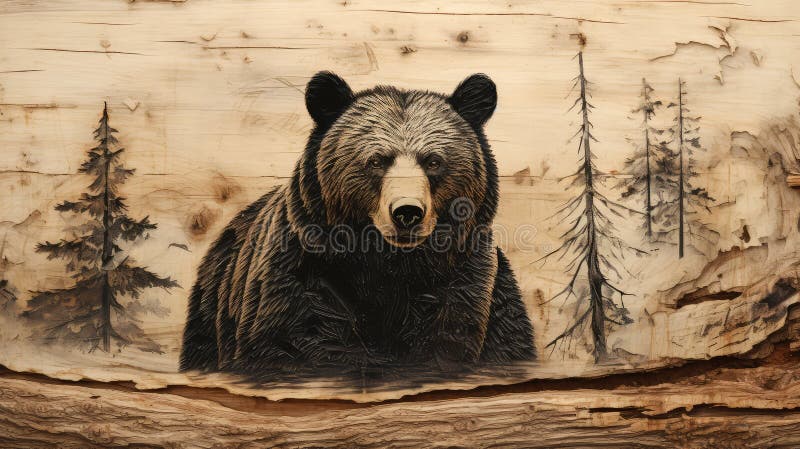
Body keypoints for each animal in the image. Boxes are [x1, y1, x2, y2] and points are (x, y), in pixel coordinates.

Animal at [179, 72, 535, 376]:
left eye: (433, 161)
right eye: (376, 160)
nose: (407, 212)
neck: (389, 265)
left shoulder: (463, 281)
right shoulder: (303, 276)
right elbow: (291, 342)